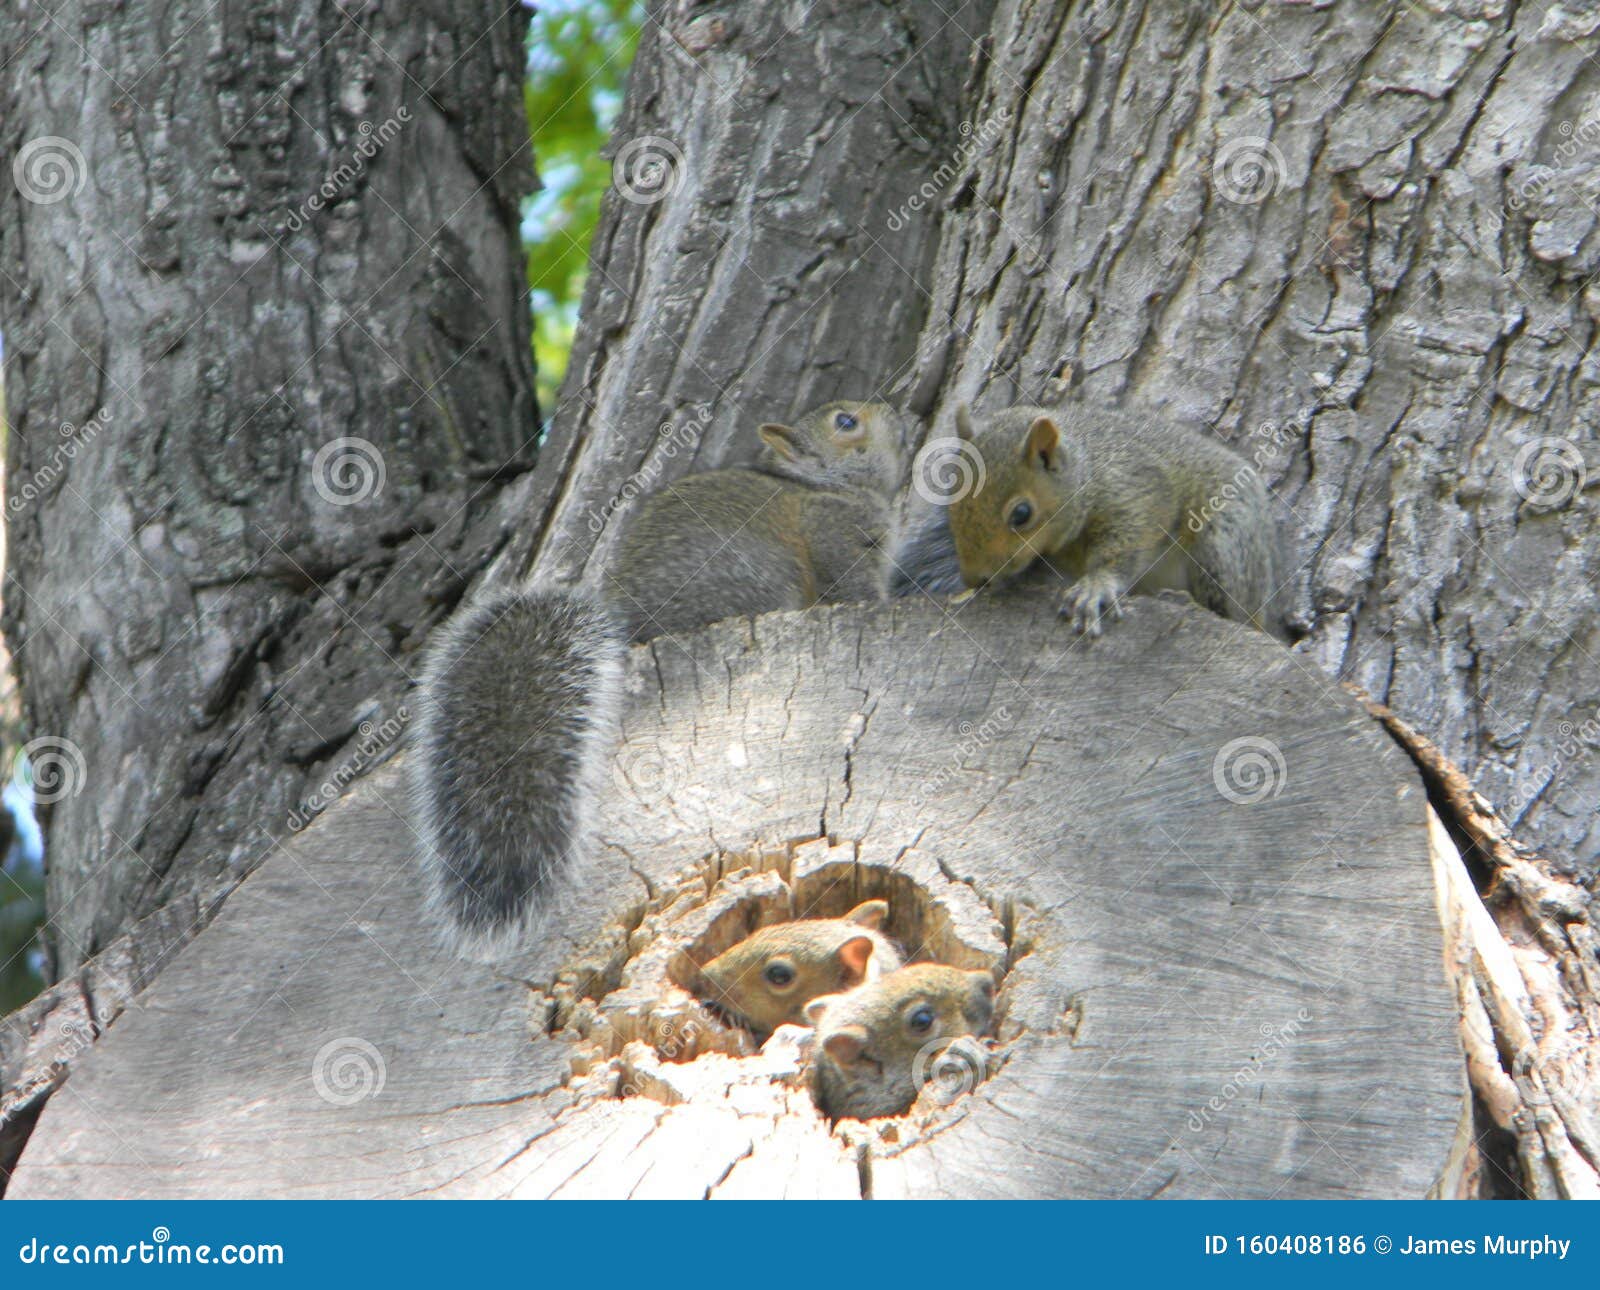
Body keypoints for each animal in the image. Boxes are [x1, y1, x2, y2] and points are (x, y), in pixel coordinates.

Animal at [411, 402, 913, 955]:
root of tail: (632, 628)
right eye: (846, 422)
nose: (896, 411)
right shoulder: (833, 534)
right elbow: (853, 587)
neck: (828, 486)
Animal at [898, 404, 1287, 639]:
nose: (975, 579)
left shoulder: (1134, 490)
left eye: (1021, 514)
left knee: (1234, 610)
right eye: (952, 503)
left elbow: (1126, 543)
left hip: (1225, 542)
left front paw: (1096, 587)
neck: (1088, 469)